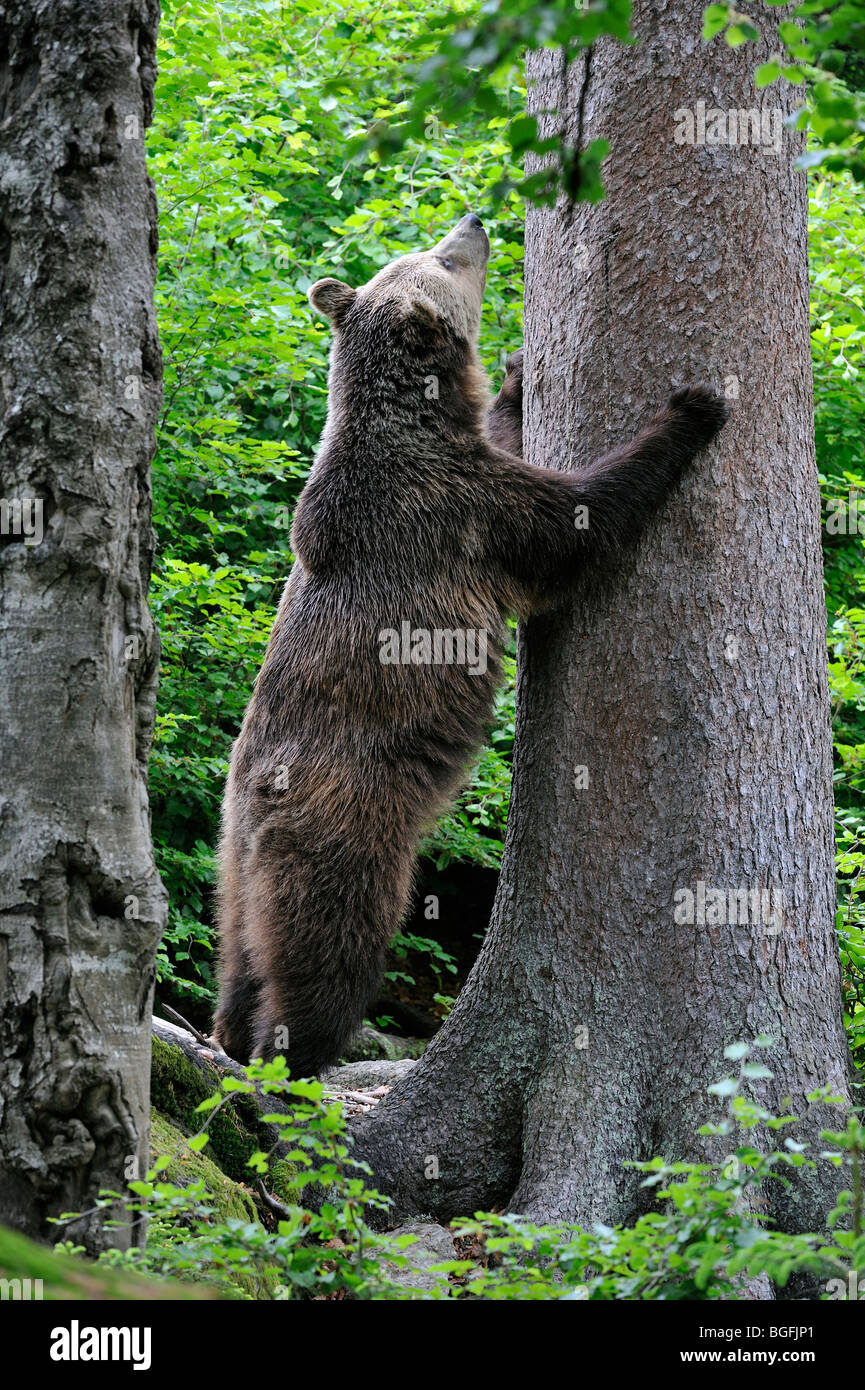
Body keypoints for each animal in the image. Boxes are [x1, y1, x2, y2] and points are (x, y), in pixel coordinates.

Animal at [212, 212, 728, 1074]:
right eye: (443, 259)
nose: (479, 220)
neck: (412, 420)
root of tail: (260, 800)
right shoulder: (460, 513)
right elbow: (580, 523)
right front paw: (691, 410)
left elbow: (510, 437)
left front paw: (517, 376)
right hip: (347, 822)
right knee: (330, 941)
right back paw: (296, 1053)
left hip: (232, 853)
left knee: (239, 946)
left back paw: (229, 1027)